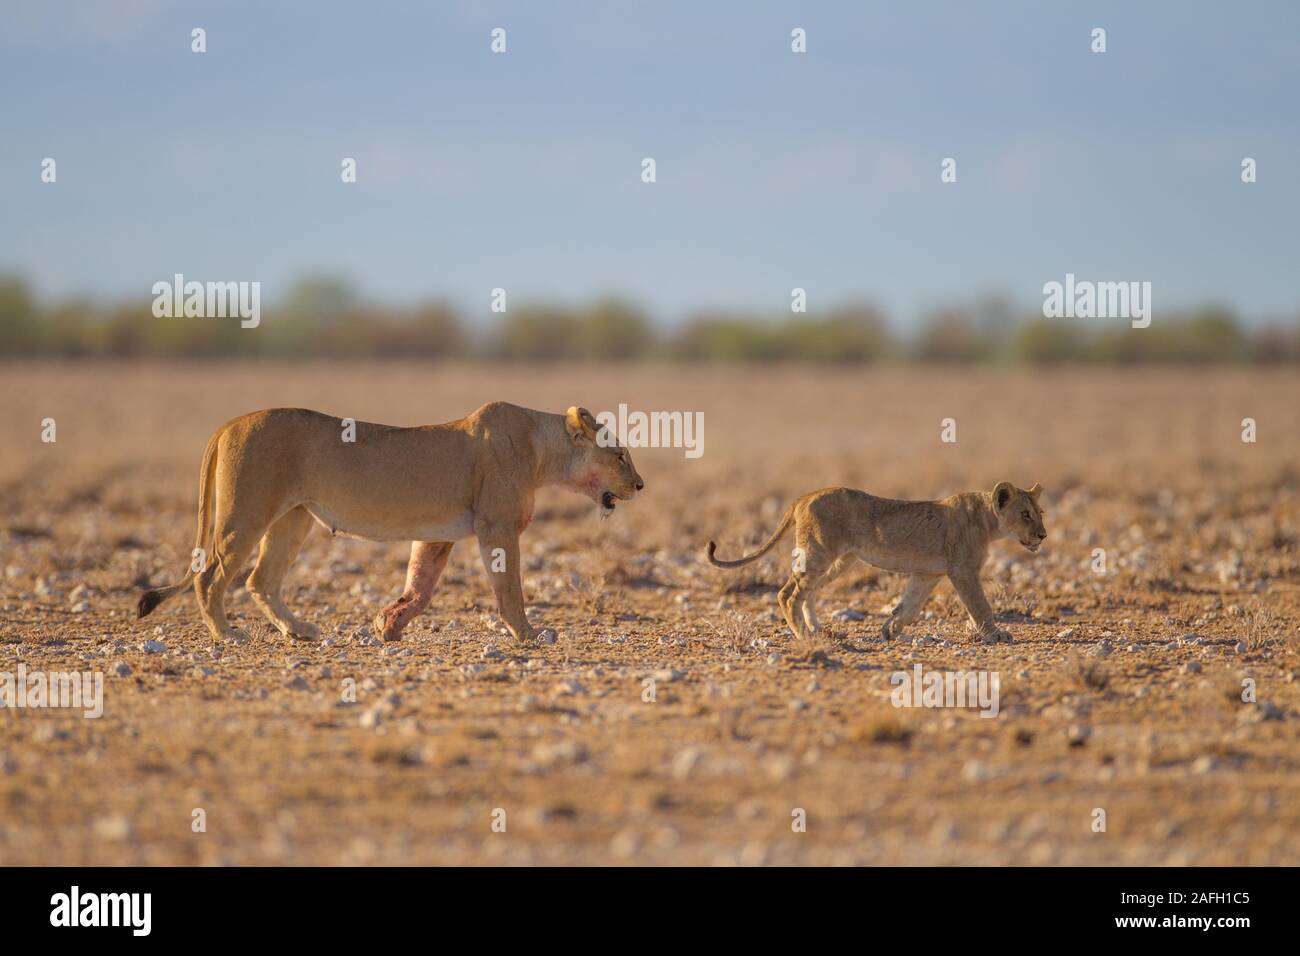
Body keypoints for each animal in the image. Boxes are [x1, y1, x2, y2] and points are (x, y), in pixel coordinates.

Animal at [137, 403, 643, 643]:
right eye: (620, 454)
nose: (640, 484)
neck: (542, 453)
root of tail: (228, 424)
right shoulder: (496, 527)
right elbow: (509, 589)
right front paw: (529, 634)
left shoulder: (437, 535)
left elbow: (420, 585)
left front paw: (388, 625)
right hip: (246, 513)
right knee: (209, 577)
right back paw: (227, 634)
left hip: (292, 518)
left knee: (260, 580)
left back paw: (300, 630)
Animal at [706, 482, 1046, 644]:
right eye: (1025, 514)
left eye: (1040, 513)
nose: (1042, 535)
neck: (989, 520)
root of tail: (803, 497)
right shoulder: (962, 570)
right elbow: (980, 605)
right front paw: (996, 634)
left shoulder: (928, 573)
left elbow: (909, 606)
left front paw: (889, 630)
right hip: (819, 552)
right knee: (788, 593)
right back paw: (804, 635)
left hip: (841, 560)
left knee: (807, 591)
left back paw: (817, 629)